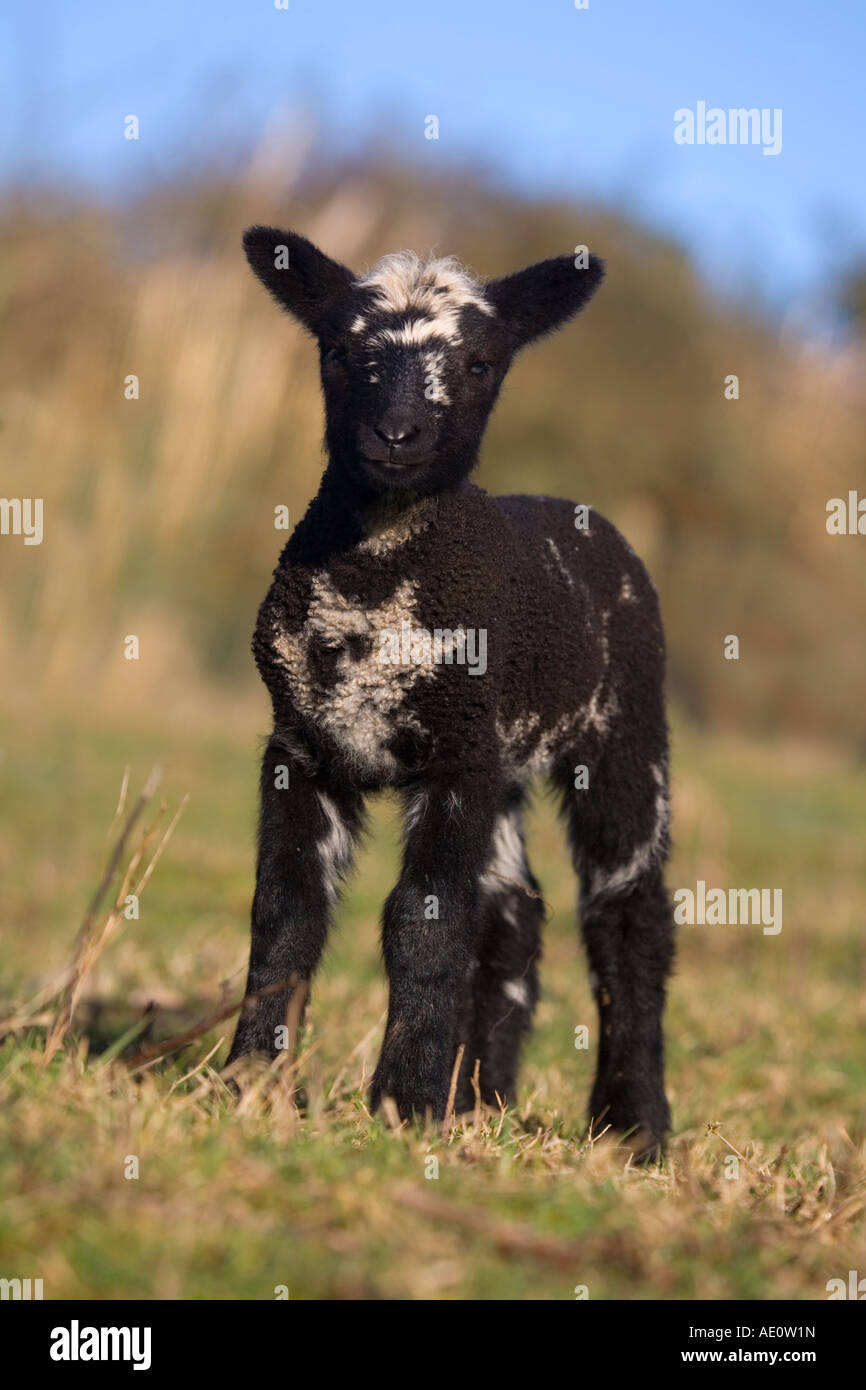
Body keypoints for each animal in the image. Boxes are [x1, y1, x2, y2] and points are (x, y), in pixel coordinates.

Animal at [226, 227, 675, 1158]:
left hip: (624, 725)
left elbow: (423, 922)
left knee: (628, 912)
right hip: (500, 757)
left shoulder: (453, 756)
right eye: (338, 349)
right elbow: (285, 911)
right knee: (514, 914)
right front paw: (251, 1084)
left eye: (480, 361)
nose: (399, 433)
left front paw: (402, 1102)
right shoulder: (301, 744)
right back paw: (483, 1100)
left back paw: (633, 1126)